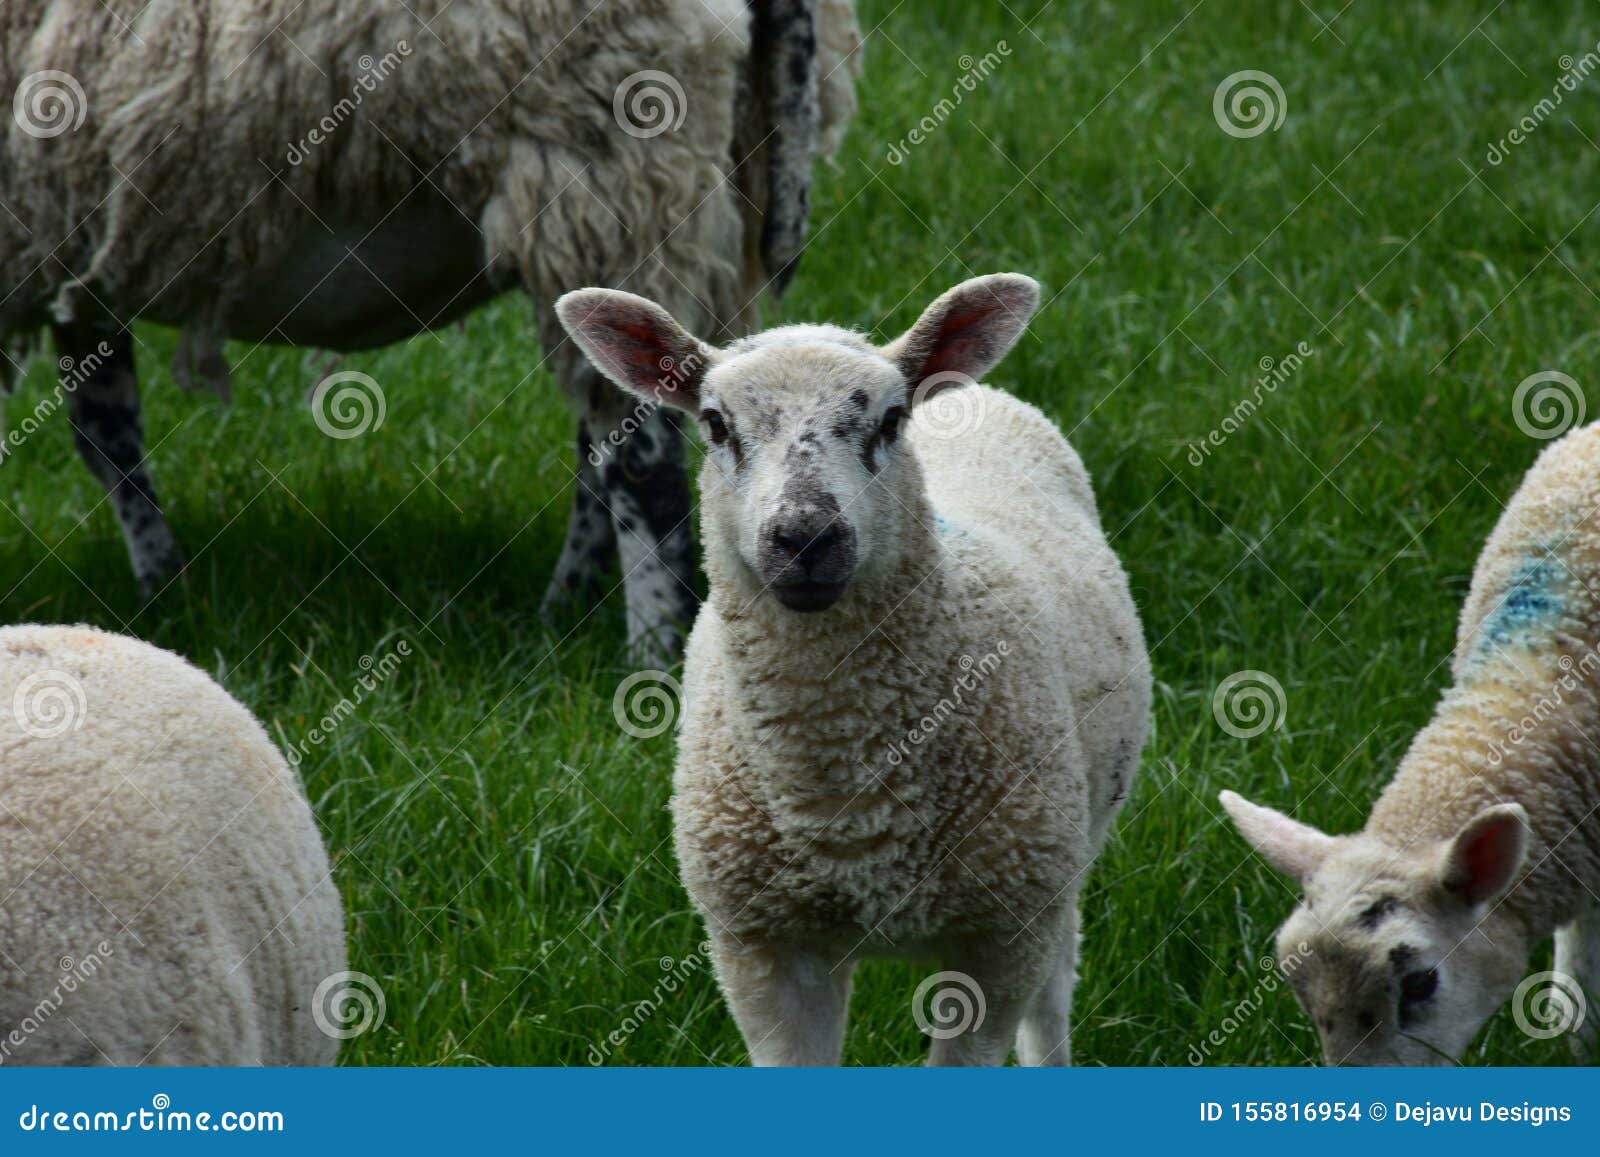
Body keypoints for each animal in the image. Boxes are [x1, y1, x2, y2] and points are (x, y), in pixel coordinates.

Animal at [0, 0, 861, 664]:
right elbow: (106, 432)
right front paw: (162, 590)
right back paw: (561, 611)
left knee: (642, 468)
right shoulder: (81, 251)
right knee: (605, 434)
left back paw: (648, 653)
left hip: (616, 168)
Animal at [557, 273, 1153, 1065]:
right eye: (714, 424)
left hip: (1060, 863)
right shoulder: (761, 948)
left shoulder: (1001, 940)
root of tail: (973, 393)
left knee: (1053, 999)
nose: (805, 537)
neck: (844, 798)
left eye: (890, 419)